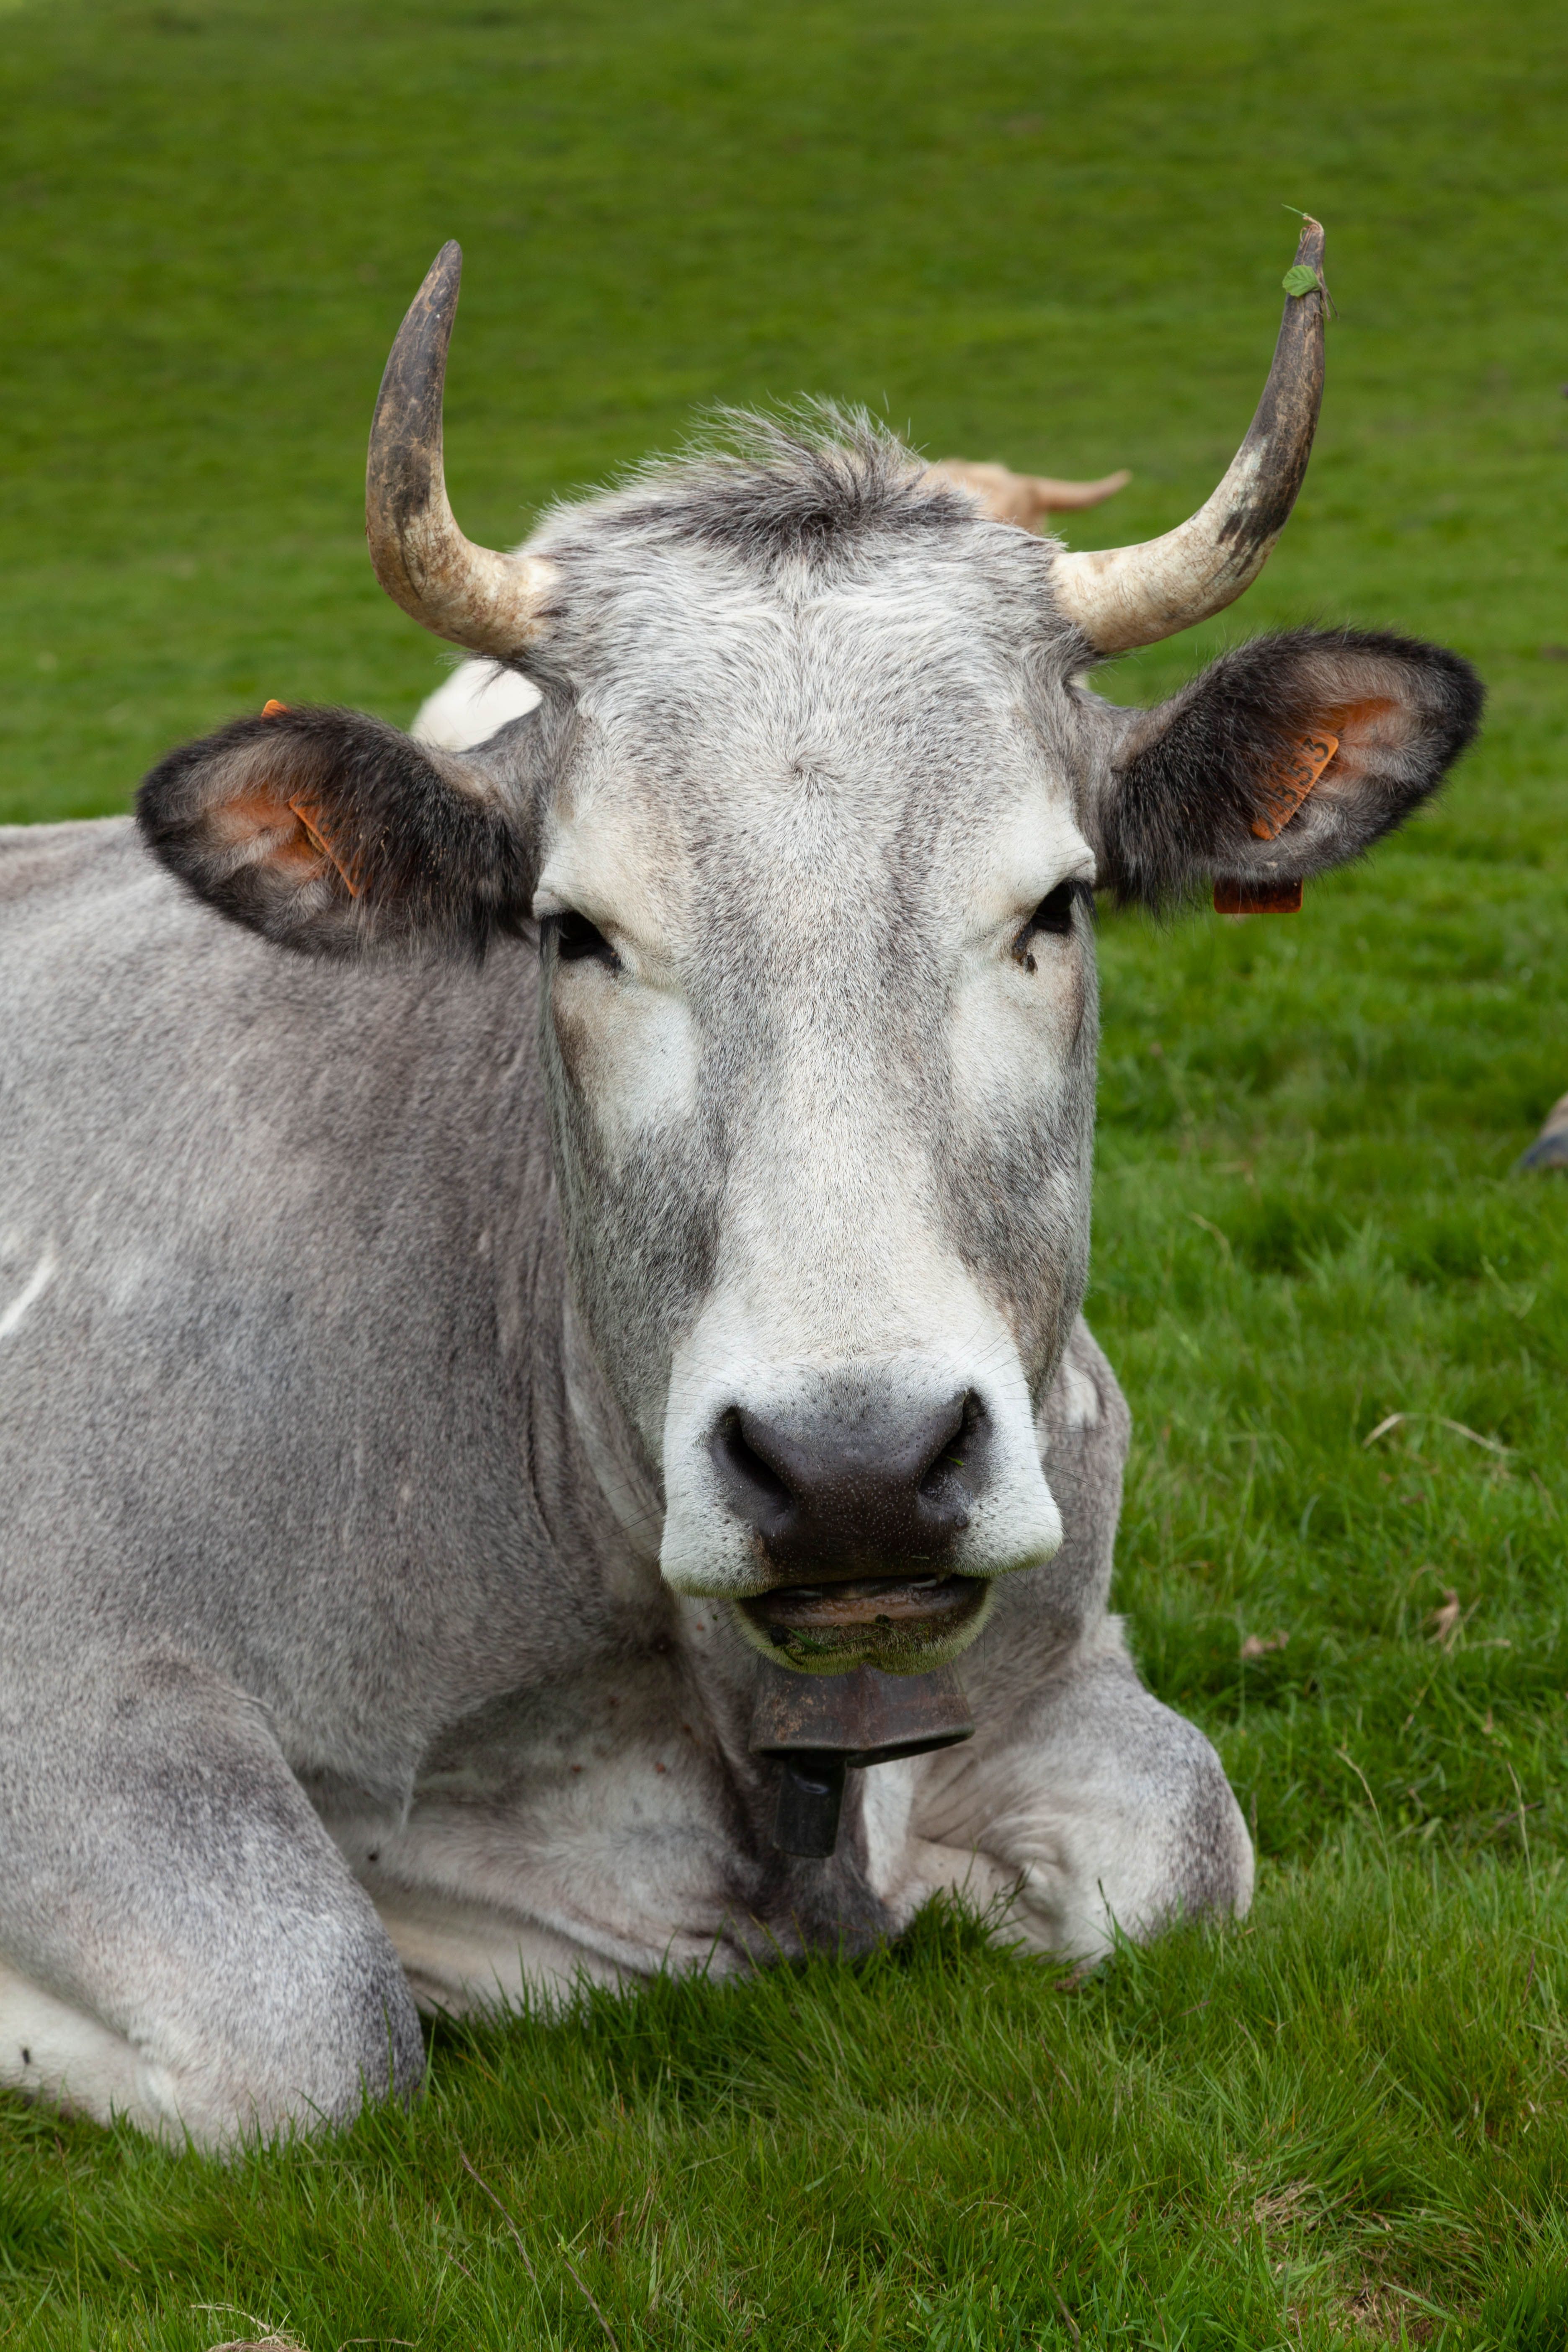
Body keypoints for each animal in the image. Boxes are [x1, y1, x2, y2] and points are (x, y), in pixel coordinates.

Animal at [0, 221, 1481, 2148]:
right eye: (571, 929)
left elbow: (1189, 1847)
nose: (855, 1468)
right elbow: (316, 2026)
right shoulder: (74, 1681)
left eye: (1056, 904)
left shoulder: (1066, 1654)